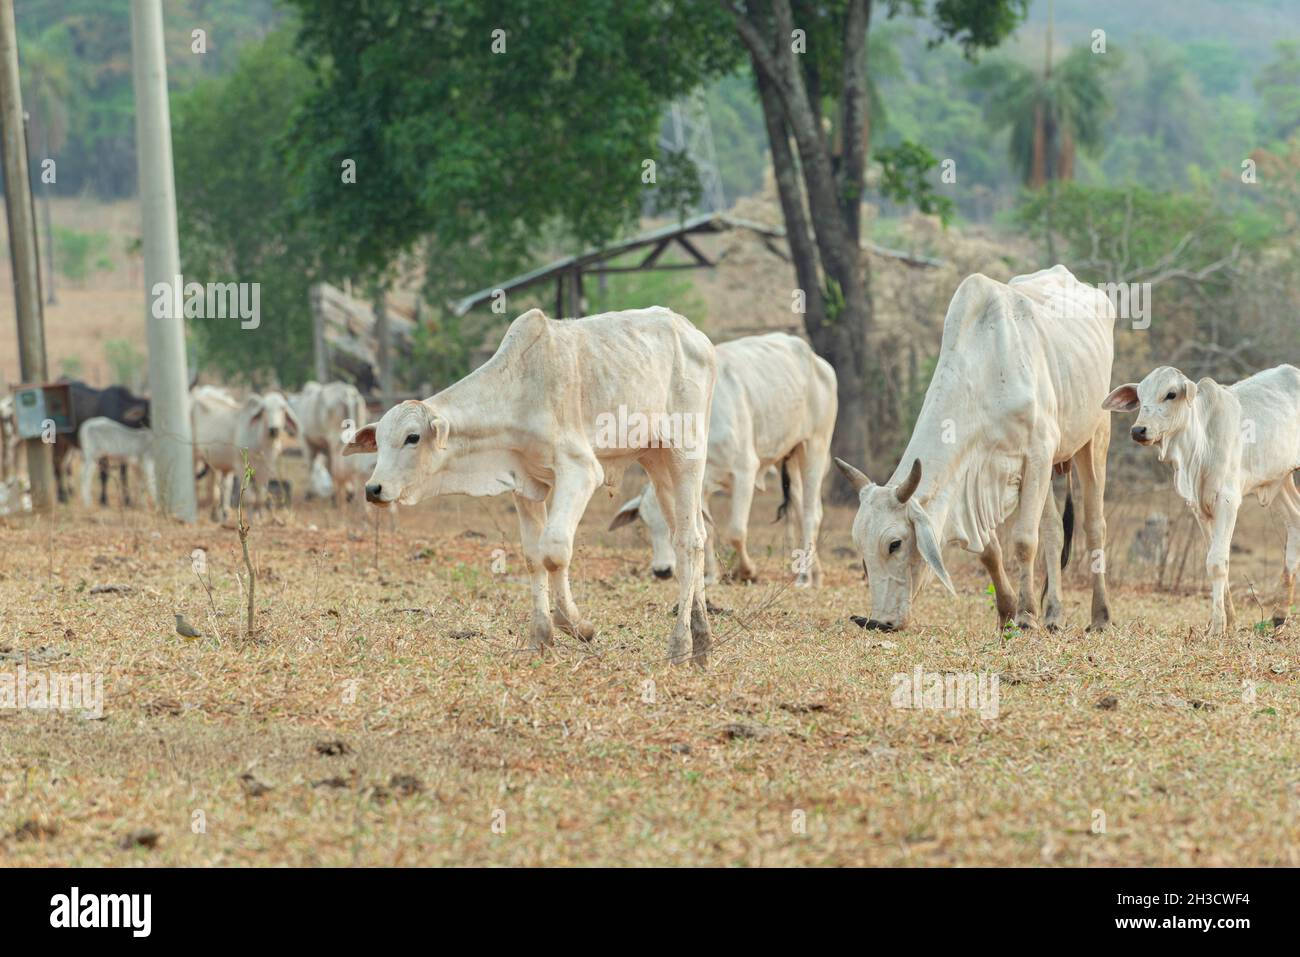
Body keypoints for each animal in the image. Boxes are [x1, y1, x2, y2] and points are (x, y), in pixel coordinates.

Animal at [191, 386, 300, 518]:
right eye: (264, 409)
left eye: (282, 408)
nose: (274, 429)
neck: (262, 443)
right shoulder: (240, 466)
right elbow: (250, 499)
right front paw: (250, 518)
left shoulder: (265, 469)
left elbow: (260, 498)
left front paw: (259, 517)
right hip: (194, 455)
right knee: (196, 483)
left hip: (215, 462)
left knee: (217, 486)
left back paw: (219, 513)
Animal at [343, 306, 717, 665]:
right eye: (378, 441)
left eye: (412, 437)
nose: (373, 489)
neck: (519, 390)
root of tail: (695, 335)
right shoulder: (527, 484)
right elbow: (534, 557)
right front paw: (541, 639)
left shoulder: (580, 470)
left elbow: (555, 549)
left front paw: (577, 625)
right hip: (657, 462)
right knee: (689, 535)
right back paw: (702, 642)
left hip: (686, 454)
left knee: (689, 541)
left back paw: (680, 646)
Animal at [609, 332, 836, 587]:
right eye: (645, 521)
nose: (662, 571)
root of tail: (817, 360)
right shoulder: (701, 483)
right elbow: (707, 531)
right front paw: (710, 576)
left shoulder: (745, 471)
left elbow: (736, 531)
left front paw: (747, 571)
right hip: (788, 456)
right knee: (799, 508)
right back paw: (815, 572)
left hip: (815, 446)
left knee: (811, 514)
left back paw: (805, 577)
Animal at [835, 265, 1115, 633]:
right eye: (860, 547)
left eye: (895, 544)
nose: (878, 622)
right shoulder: (980, 477)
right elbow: (989, 549)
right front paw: (1008, 612)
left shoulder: (1037, 454)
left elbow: (1024, 541)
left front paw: (1026, 616)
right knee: (1054, 530)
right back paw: (1054, 614)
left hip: (1094, 436)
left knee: (1094, 526)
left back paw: (1101, 616)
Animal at [1103, 364, 1300, 635]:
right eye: (1140, 397)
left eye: (1171, 394)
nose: (1138, 430)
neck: (1198, 445)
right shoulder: (1199, 507)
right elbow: (1216, 558)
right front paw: (1229, 621)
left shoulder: (1227, 500)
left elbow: (1216, 561)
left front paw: (1217, 627)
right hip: (1279, 481)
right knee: (1295, 520)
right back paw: (1280, 614)